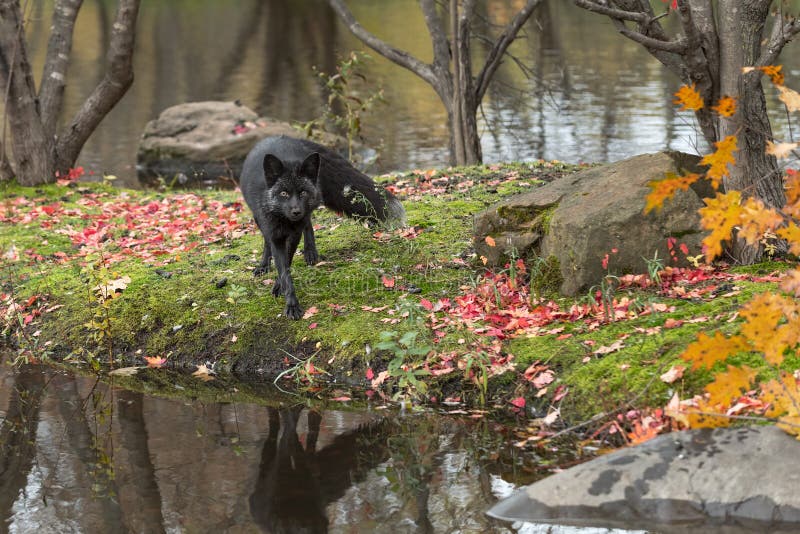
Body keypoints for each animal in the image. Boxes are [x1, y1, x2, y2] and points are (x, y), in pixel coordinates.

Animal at [240, 136, 405, 319]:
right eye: (283, 193)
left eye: (303, 192)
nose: (296, 212)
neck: (284, 220)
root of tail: (284, 137)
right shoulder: (276, 235)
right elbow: (282, 267)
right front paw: (290, 303)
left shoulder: (294, 234)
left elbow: (287, 263)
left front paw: (280, 288)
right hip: (258, 218)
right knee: (267, 239)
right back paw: (263, 265)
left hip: (309, 206)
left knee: (308, 225)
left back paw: (311, 252)